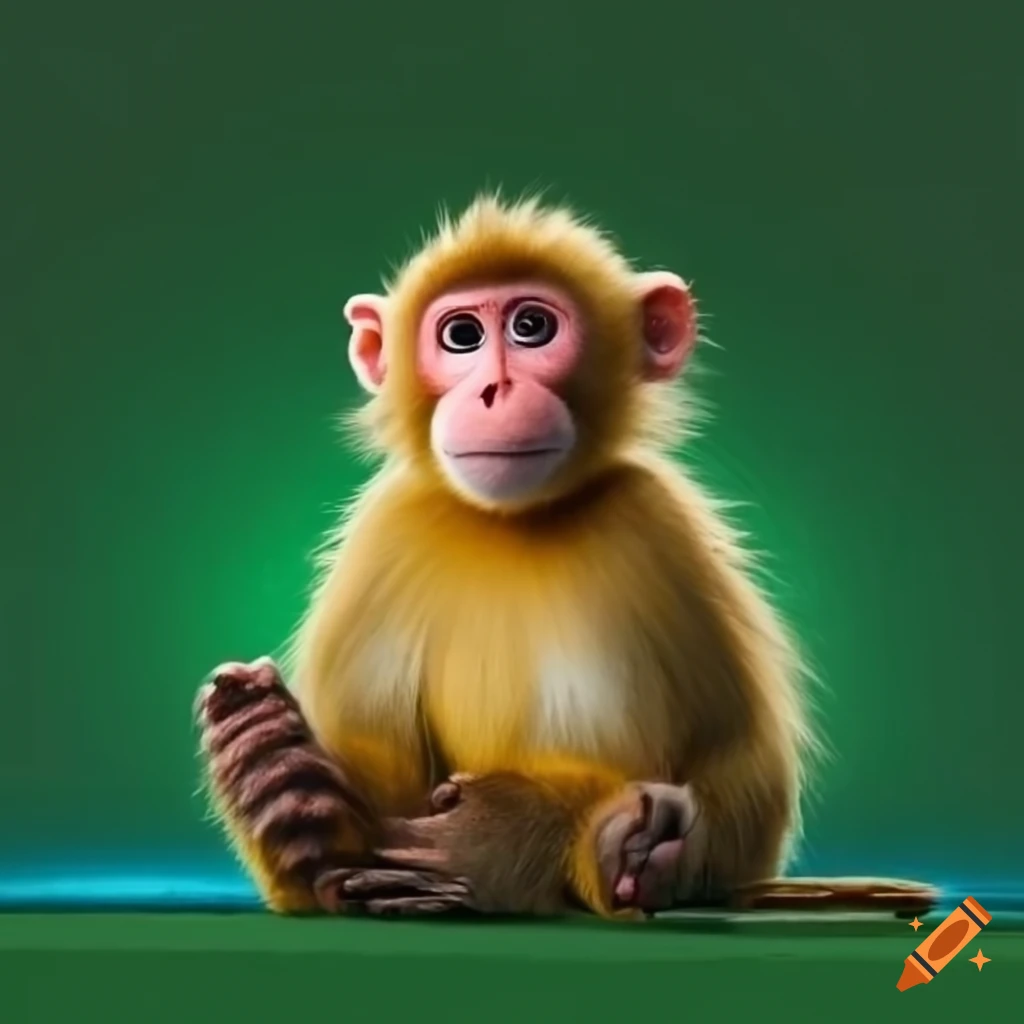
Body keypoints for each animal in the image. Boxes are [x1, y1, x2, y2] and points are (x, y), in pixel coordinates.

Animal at [195, 193, 938, 920]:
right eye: (460, 336)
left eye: (532, 327)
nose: (495, 392)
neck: (512, 520)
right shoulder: (384, 534)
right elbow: (337, 869)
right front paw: (275, 766)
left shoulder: (657, 520)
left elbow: (746, 788)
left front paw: (513, 840)